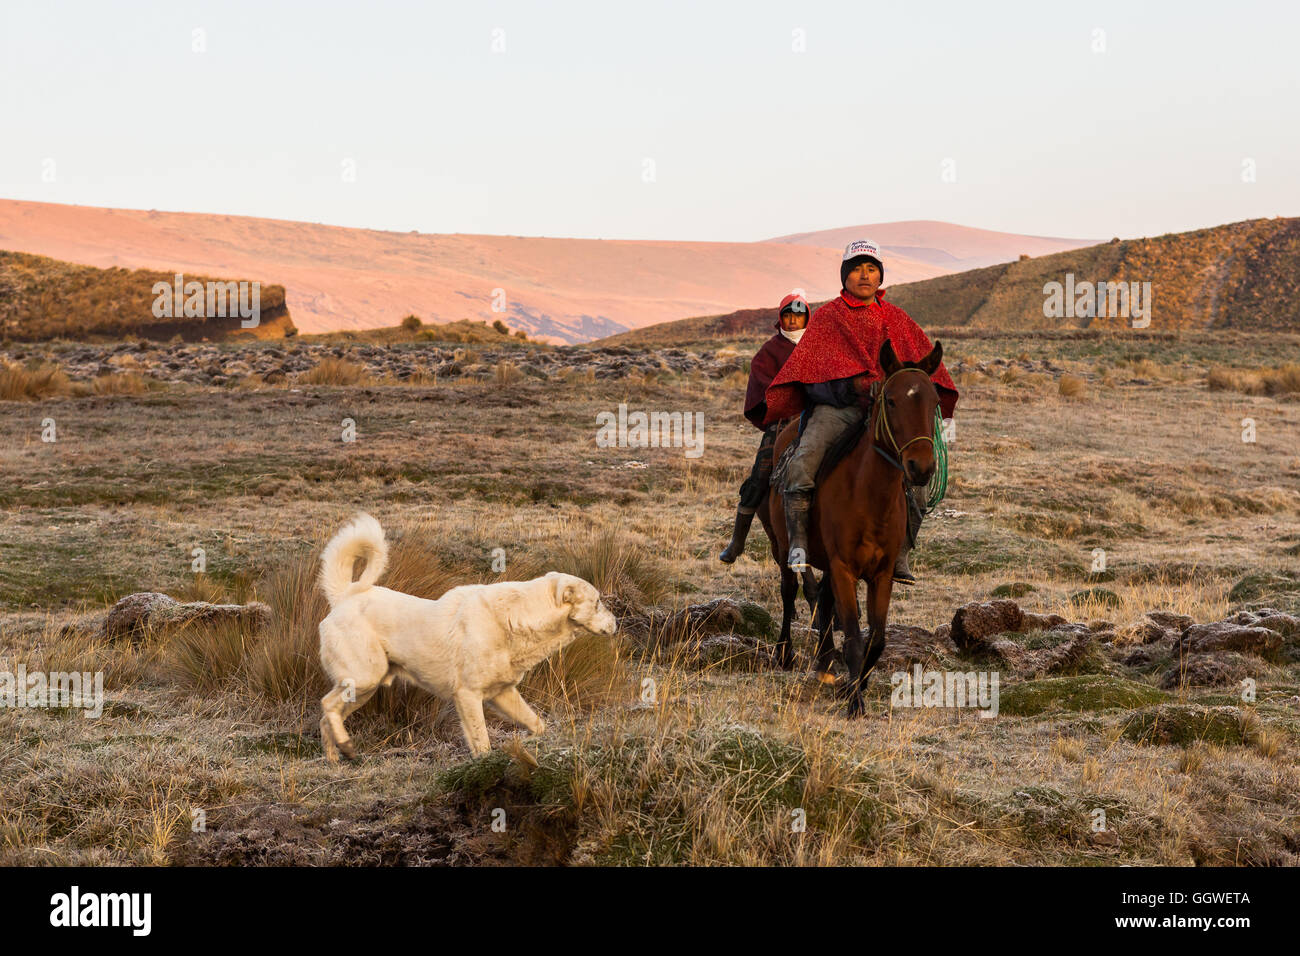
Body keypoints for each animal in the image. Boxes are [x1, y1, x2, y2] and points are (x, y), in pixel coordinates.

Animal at [756, 338, 943, 716]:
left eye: (934, 402)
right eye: (891, 400)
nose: (921, 467)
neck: (869, 496)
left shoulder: (881, 574)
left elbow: (878, 637)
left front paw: (855, 684)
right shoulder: (843, 568)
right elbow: (855, 635)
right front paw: (855, 701)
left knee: (824, 603)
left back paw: (826, 662)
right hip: (783, 547)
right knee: (789, 592)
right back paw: (786, 653)